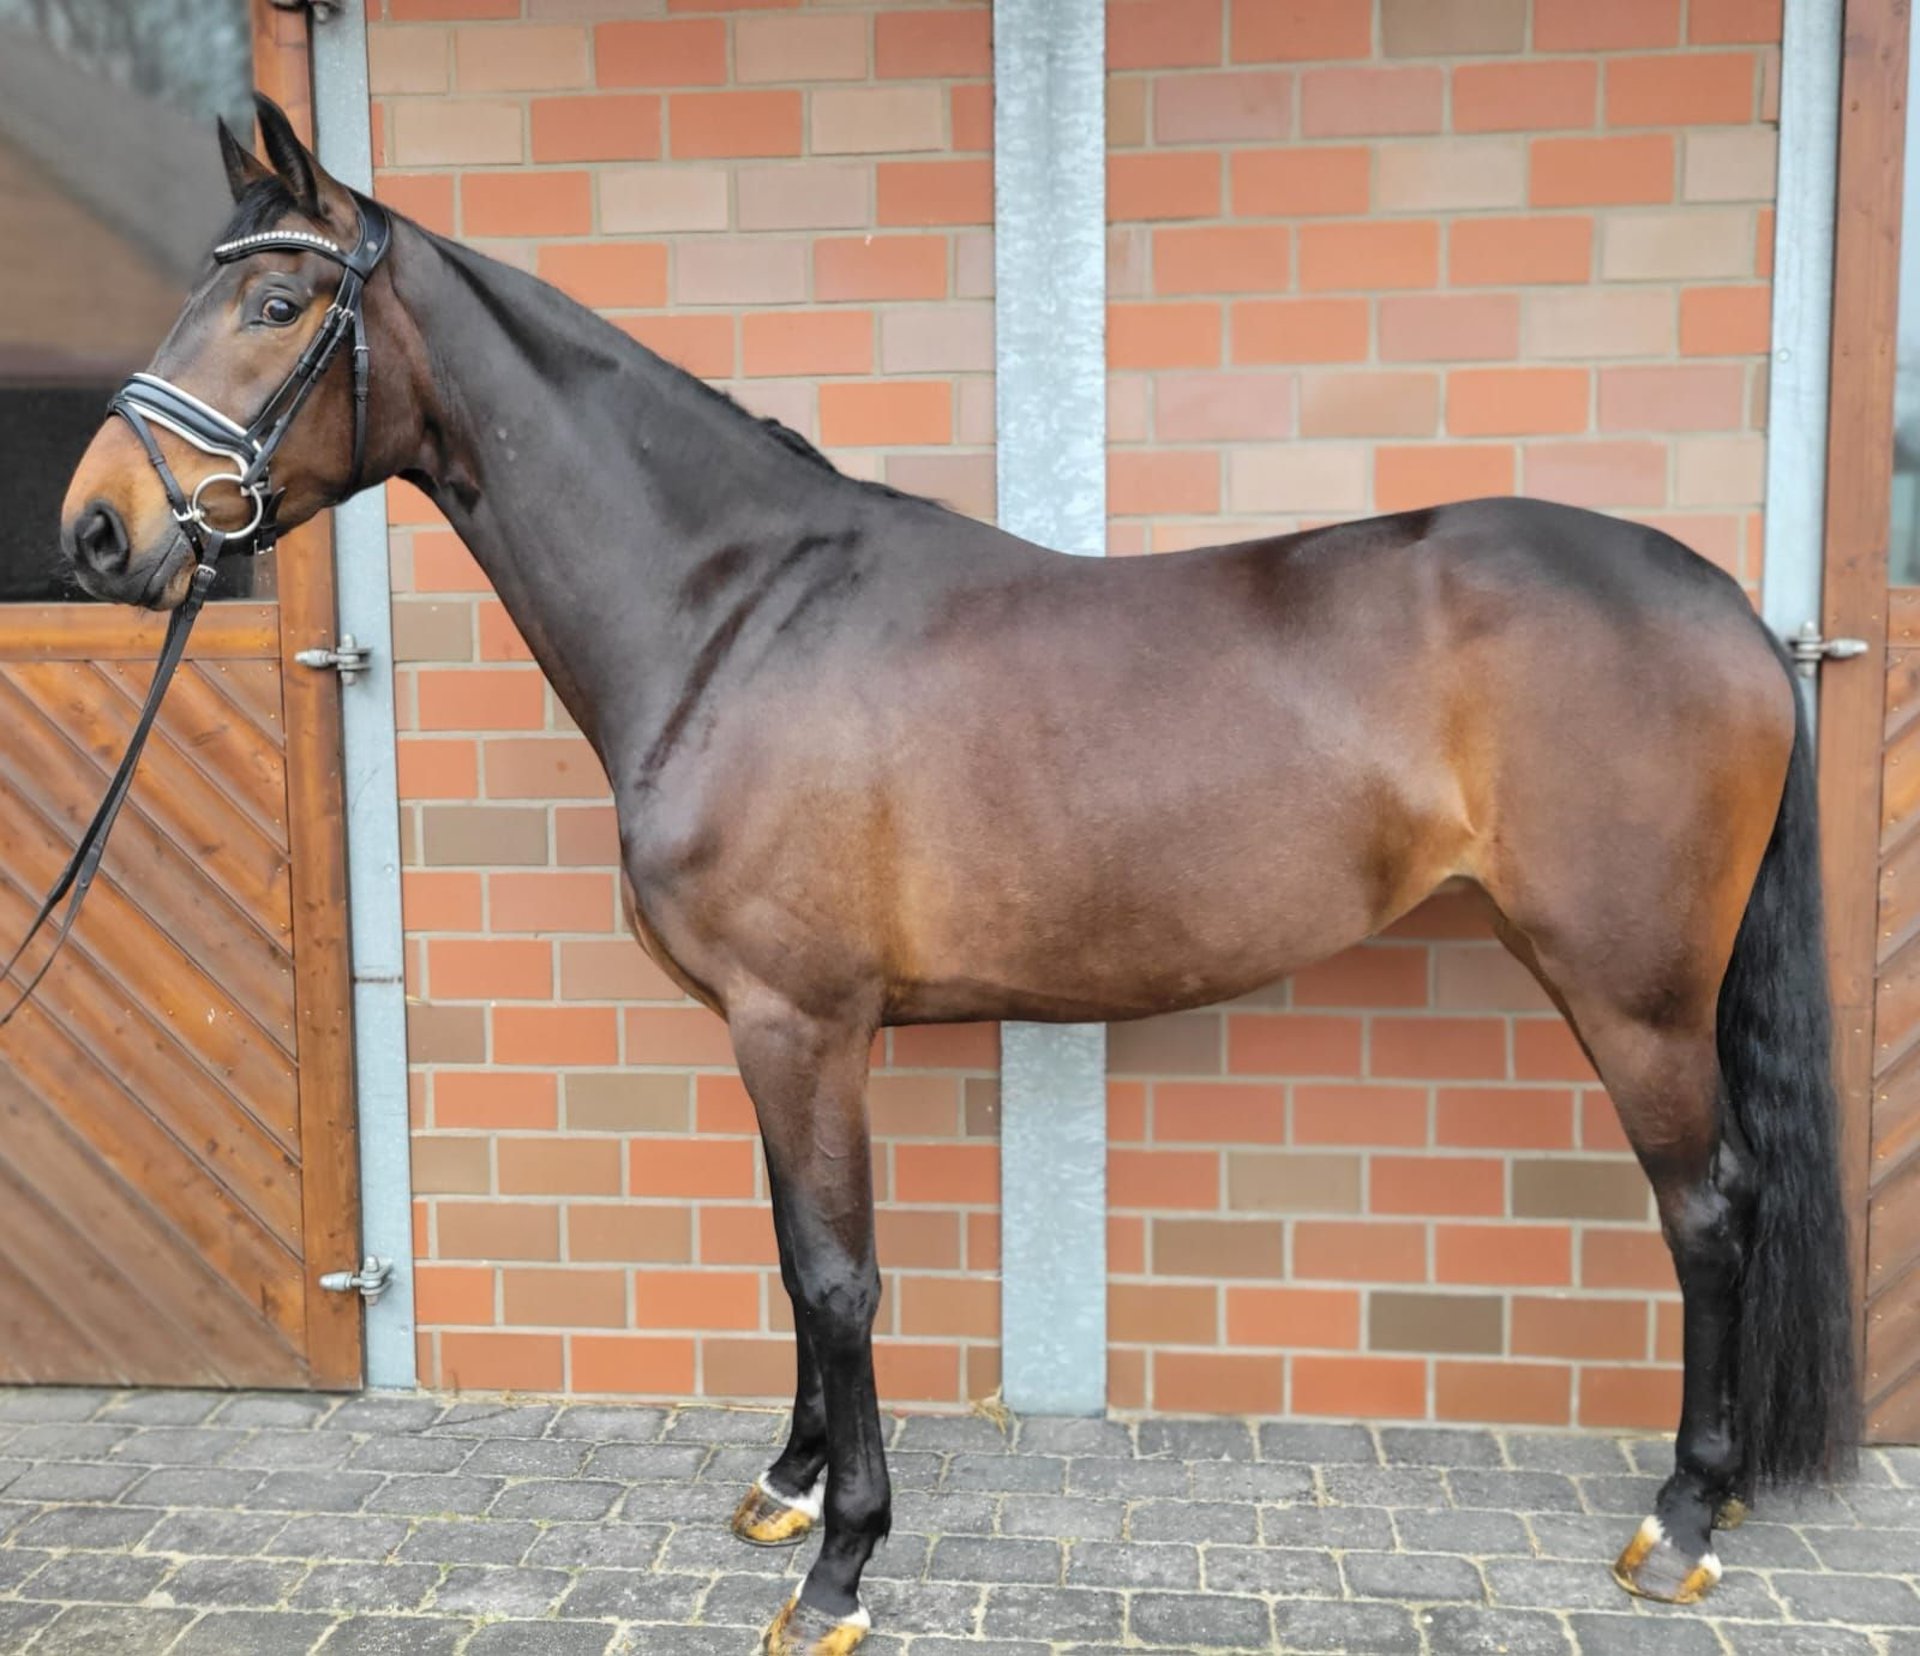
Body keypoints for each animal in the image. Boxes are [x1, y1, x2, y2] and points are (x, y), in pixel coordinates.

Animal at [55, 98, 1855, 1655]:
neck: (732, 612)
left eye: (277, 299)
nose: (93, 532)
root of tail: (1723, 606)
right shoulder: (771, 1031)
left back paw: (1684, 1520)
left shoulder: (803, 1024)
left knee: (1711, 1210)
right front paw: (787, 1491)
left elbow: (837, 1275)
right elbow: (795, 1259)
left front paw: (841, 1566)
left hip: (1633, 993)